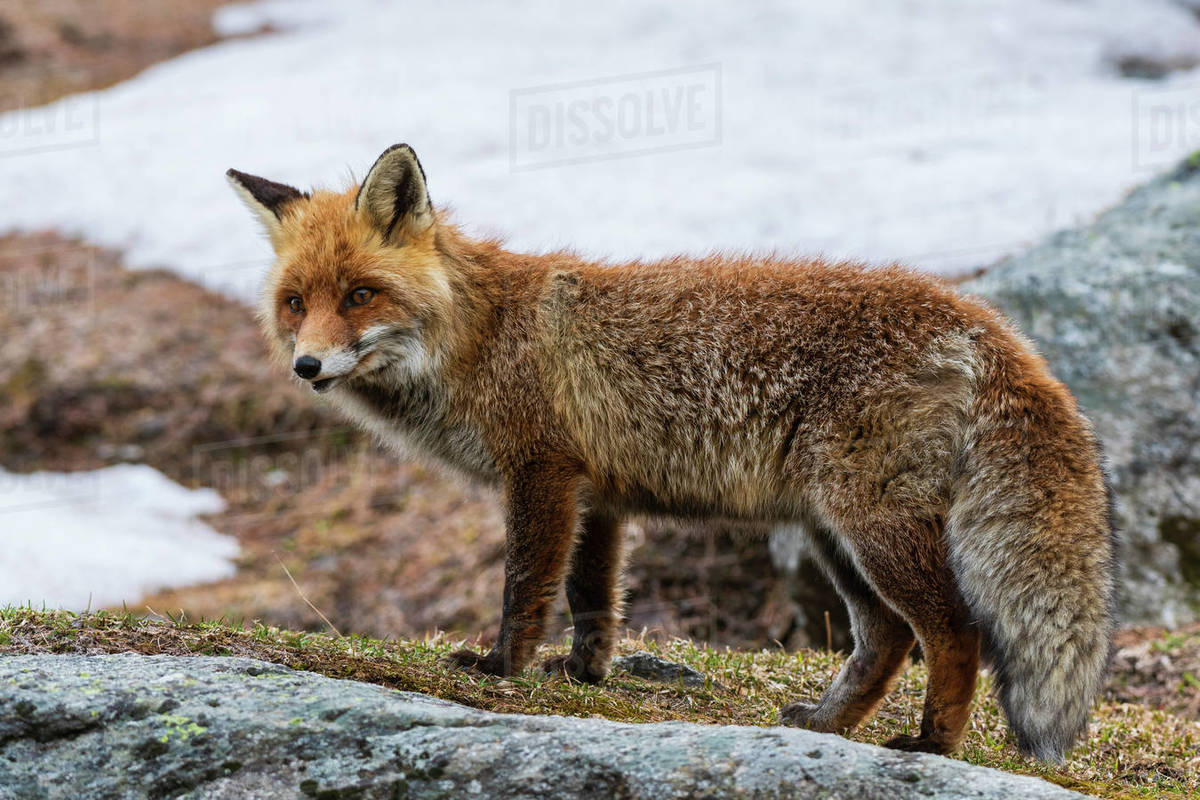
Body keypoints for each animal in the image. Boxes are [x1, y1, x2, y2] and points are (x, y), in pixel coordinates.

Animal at [226, 143, 1118, 762]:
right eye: (296, 302)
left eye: (360, 295)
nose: (307, 366)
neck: (478, 336)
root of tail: (976, 315)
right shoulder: (596, 498)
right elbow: (592, 600)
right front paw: (584, 677)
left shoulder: (540, 474)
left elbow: (525, 588)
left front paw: (502, 668)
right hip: (834, 536)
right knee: (887, 640)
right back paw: (828, 724)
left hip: (872, 529)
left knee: (956, 629)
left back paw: (933, 745)